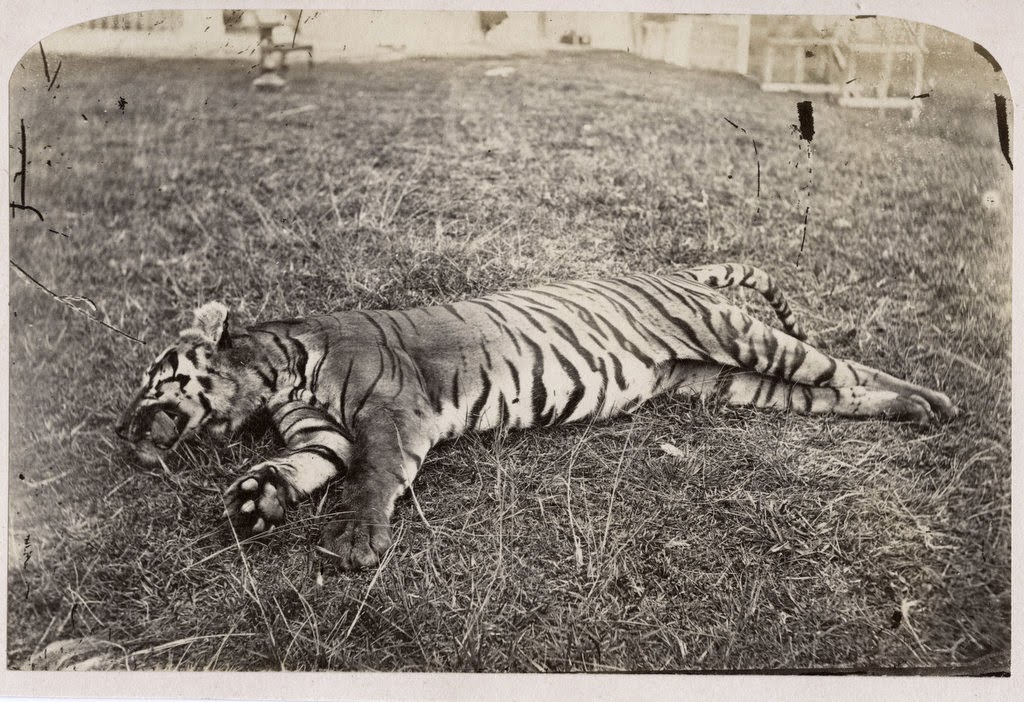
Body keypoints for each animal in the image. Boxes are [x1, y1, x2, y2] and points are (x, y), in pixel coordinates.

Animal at [116, 263, 956, 570]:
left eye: (154, 381)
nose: (119, 433)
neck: (276, 374)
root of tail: (677, 268)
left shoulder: (392, 416)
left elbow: (372, 479)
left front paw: (357, 544)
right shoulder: (322, 437)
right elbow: (298, 467)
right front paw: (256, 500)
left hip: (742, 339)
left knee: (848, 368)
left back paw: (938, 403)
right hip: (729, 382)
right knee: (840, 393)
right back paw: (915, 411)